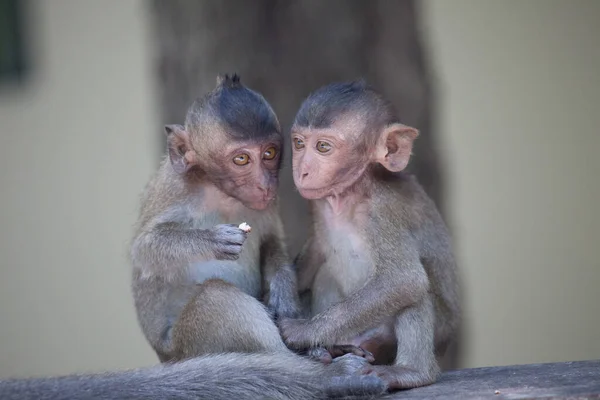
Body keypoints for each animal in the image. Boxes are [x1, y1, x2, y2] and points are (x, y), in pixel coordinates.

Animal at [126, 74, 386, 396]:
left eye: (269, 153)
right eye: (241, 159)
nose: (264, 184)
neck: (220, 193)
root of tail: (165, 357)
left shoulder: (269, 204)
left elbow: (271, 240)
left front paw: (283, 298)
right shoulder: (175, 188)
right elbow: (144, 249)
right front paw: (211, 241)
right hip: (188, 347)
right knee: (217, 298)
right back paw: (327, 375)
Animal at [278, 79, 462, 390]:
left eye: (323, 147)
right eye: (299, 143)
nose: (302, 170)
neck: (350, 194)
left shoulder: (383, 210)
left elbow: (404, 279)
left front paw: (301, 331)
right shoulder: (317, 204)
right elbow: (315, 255)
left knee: (415, 292)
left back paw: (412, 371)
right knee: (327, 273)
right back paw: (334, 348)